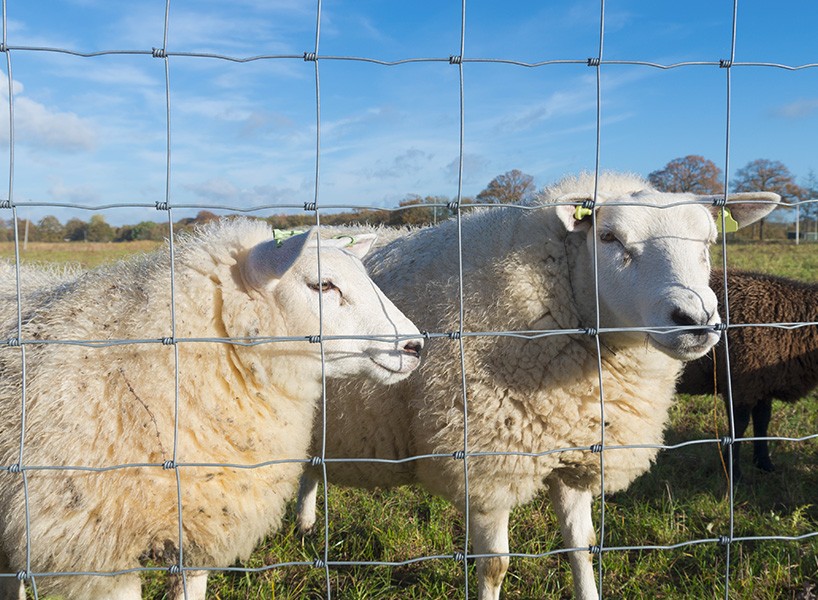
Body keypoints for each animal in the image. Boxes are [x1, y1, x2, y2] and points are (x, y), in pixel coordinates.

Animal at [294, 171, 776, 596]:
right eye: (610, 238)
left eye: (709, 243)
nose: (696, 320)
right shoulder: (486, 466)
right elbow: (494, 567)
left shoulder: (578, 454)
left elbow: (582, 548)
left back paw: (305, 523)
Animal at [676, 270, 816, 480]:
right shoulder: (740, 385)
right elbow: (739, 426)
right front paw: (733, 472)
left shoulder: (762, 385)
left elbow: (762, 422)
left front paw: (765, 464)